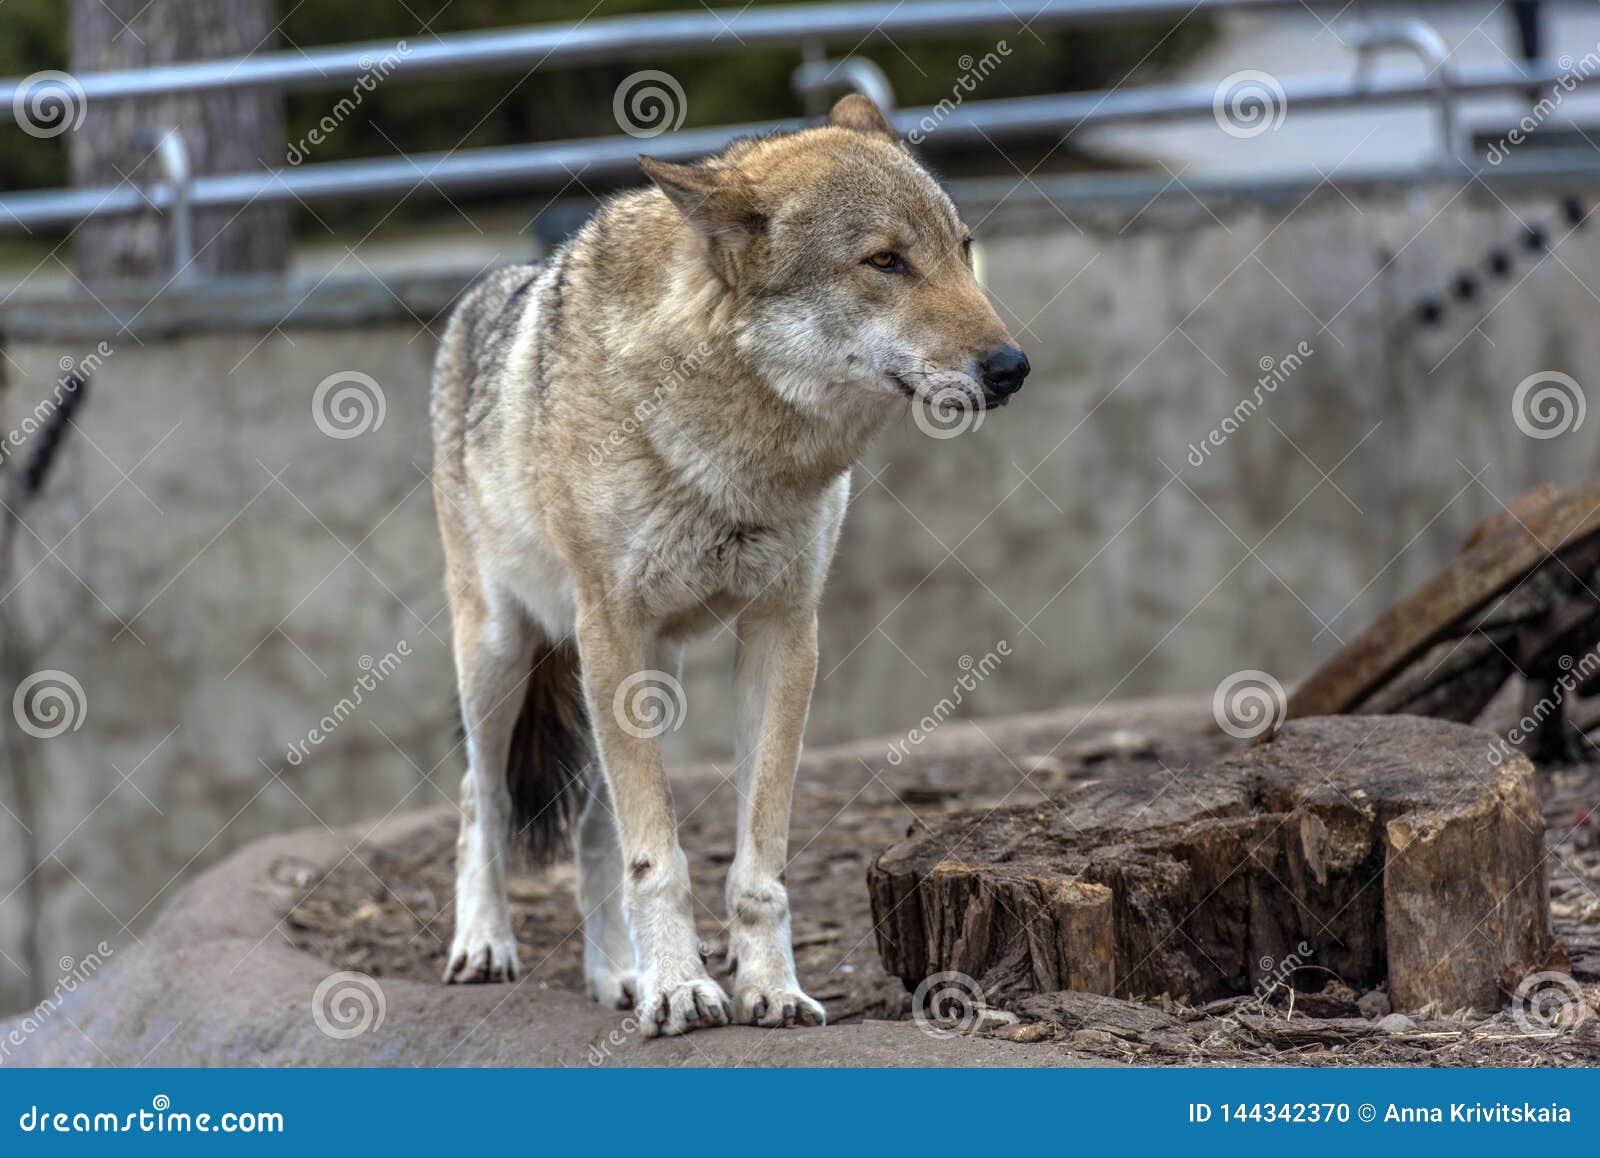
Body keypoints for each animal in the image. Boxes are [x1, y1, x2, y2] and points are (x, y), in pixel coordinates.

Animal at [428, 94, 1028, 1037]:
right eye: (885, 261)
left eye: (962, 249)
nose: (1012, 368)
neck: (739, 444)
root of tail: (484, 294)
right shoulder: (612, 630)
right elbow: (659, 856)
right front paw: (681, 988)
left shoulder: (783, 631)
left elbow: (756, 861)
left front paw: (766, 989)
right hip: (506, 657)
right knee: (476, 800)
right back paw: (487, 947)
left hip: (646, 675)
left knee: (593, 830)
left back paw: (616, 975)